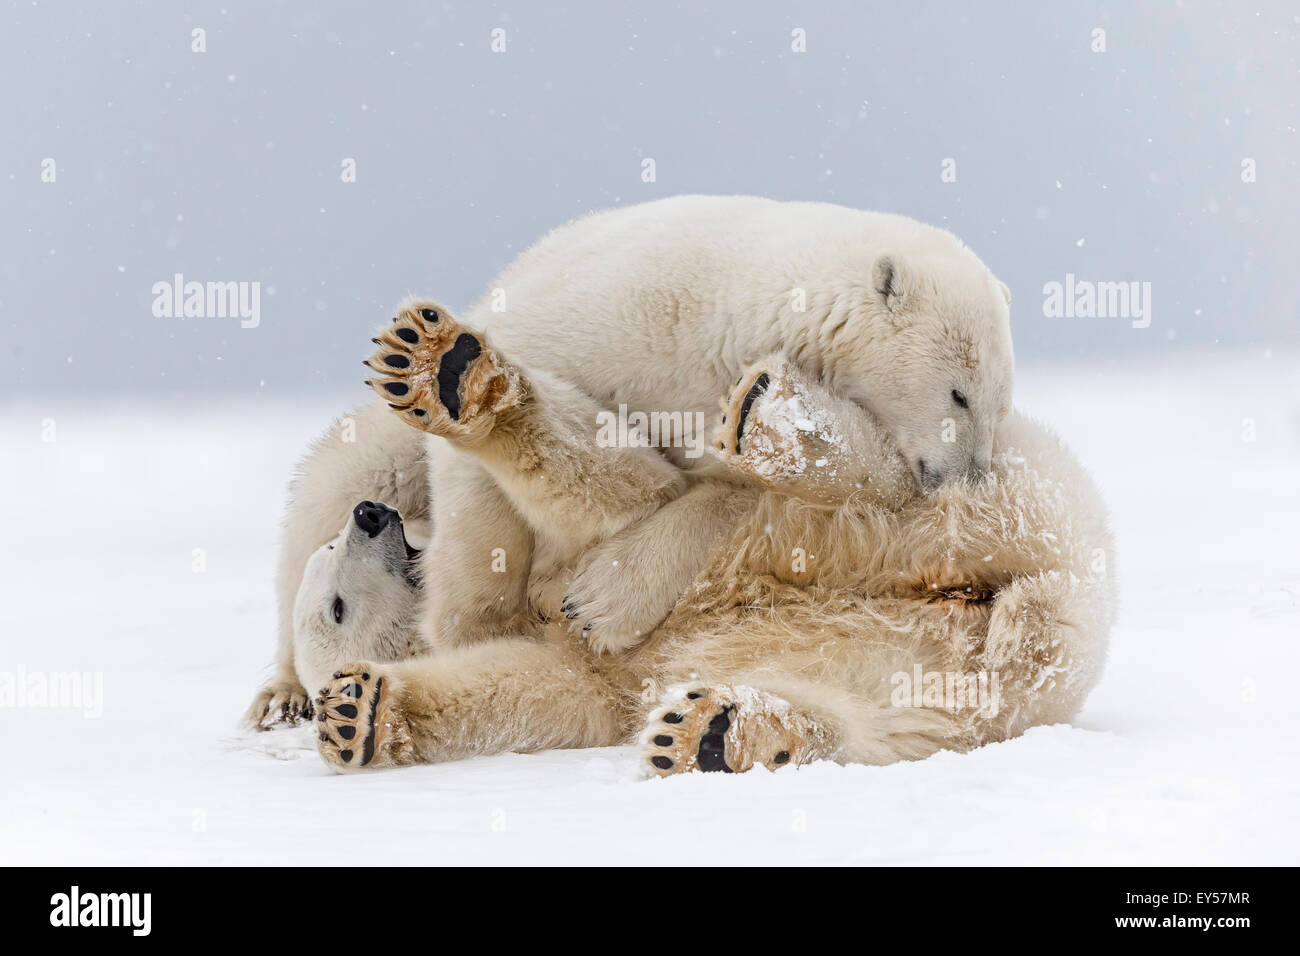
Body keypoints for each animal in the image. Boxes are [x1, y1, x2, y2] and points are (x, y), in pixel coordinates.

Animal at [246, 195, 1015, 726]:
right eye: (960, 394)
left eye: (1001, 405)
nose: (971, 481)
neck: (736, 315)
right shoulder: (616, 328)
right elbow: (488, 477)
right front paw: (472, 623)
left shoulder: (725, 401)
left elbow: (722, 495)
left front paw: (599, 602)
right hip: (376, 452)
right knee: (334, 487)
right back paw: (283, 693)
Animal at [290, 344, 1113, 774]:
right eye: (336, 602)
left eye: (331, 572)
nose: (369, 513)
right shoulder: (590, 676)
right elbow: (516, 694)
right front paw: (356, 713)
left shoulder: (564, 581)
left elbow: (624, 499)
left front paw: (466, 382)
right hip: (936, 691)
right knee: (853, 720)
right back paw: (711, 731)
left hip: (950, 500)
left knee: (879, 491)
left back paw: (772, 420)